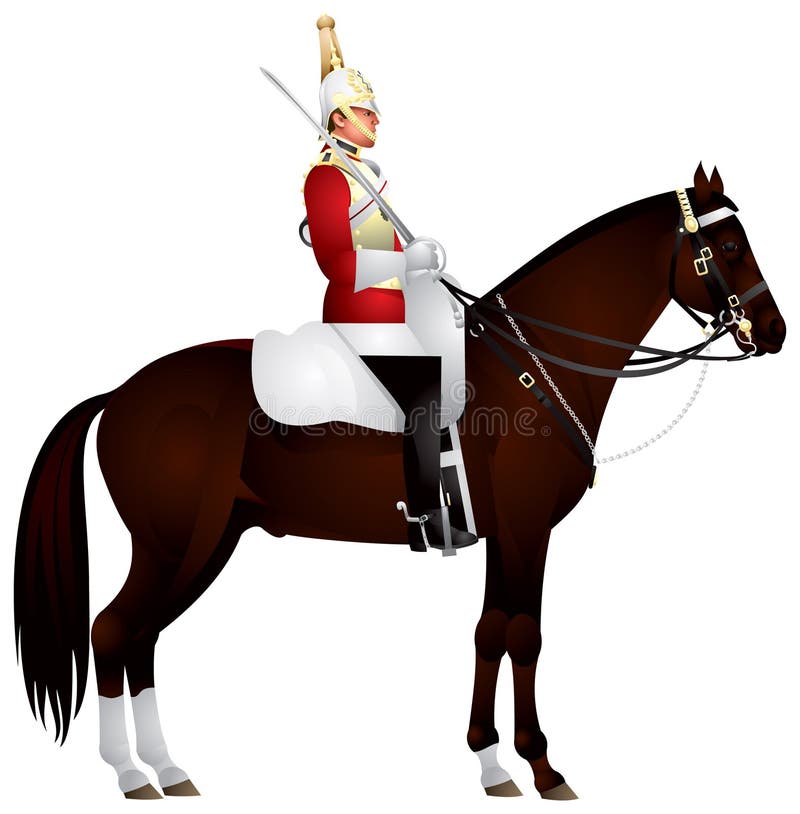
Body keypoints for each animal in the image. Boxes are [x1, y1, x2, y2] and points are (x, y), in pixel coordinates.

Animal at [14, 163, 785, 801]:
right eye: (732, 246)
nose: (773, 332)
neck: (532, 359)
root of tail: (121, 392)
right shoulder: (528, 530)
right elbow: (526, 634)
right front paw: (541, 765)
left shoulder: (502, 533)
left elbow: (491, 631)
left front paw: (491, 763)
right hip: (175, 545)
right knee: (116, 631)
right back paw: (131, 774)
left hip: (205, 544)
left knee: (140, 638)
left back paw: (167, 769)